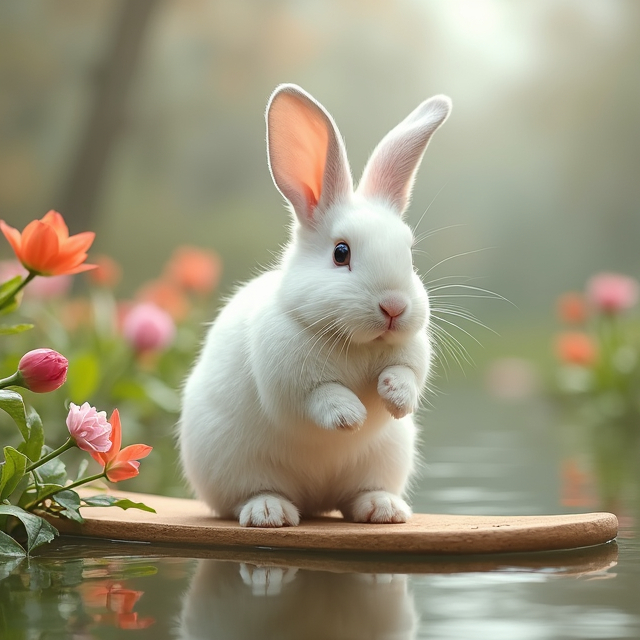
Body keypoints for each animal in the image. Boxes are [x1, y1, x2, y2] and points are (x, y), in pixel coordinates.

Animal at [179, 83, 451, 527]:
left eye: (409, 254)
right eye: (341, 253)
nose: (394, 307)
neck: (357, 343)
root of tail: (314, 501)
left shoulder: (410, 356)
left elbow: (405, 374)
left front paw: (394, 396)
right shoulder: (289, 379)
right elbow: (320, 396)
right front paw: (351, 416)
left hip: (384, 459)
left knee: (356, 496)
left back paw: (383, 508)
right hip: (234, 465)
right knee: (249, 496)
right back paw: (270, 512)